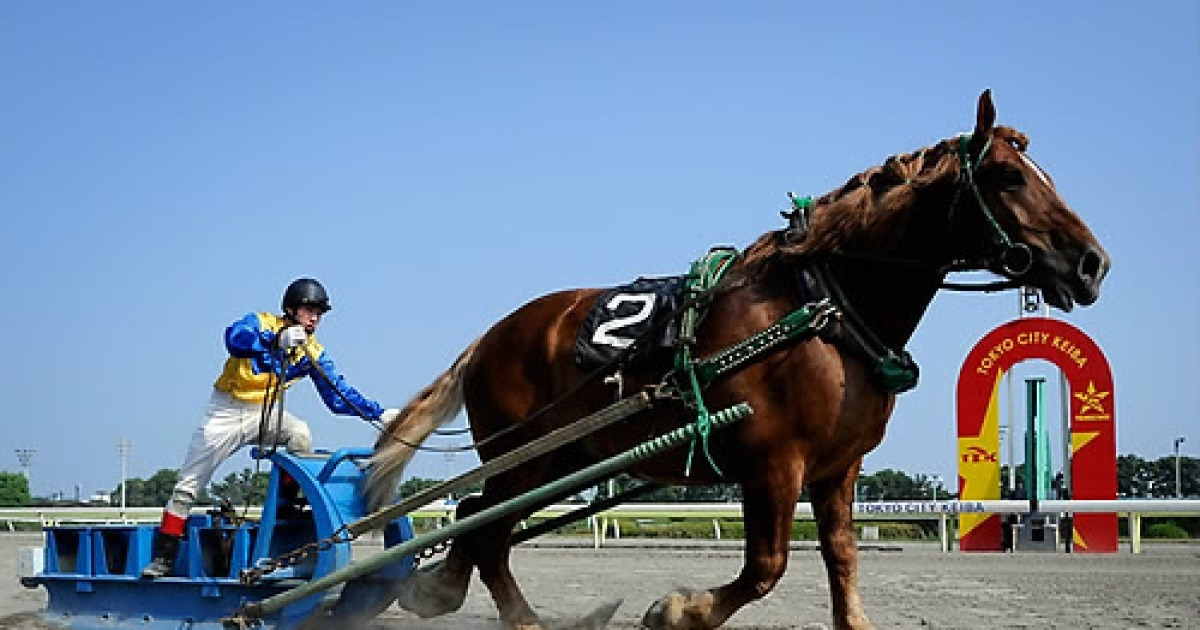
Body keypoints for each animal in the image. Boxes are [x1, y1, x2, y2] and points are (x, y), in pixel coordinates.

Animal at [363, 90, 1109, 630]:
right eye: (1009, 176)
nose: (1091, 263)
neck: (821, 308)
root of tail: (490, 337)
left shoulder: (838, 467)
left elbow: (842, 561)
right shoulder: (772, 462)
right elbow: (765, 568)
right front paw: (676, 610)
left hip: (561, 458)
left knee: (478, 520)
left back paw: (449, 592)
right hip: (526, 455)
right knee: (486, 528)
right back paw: (512, 616)